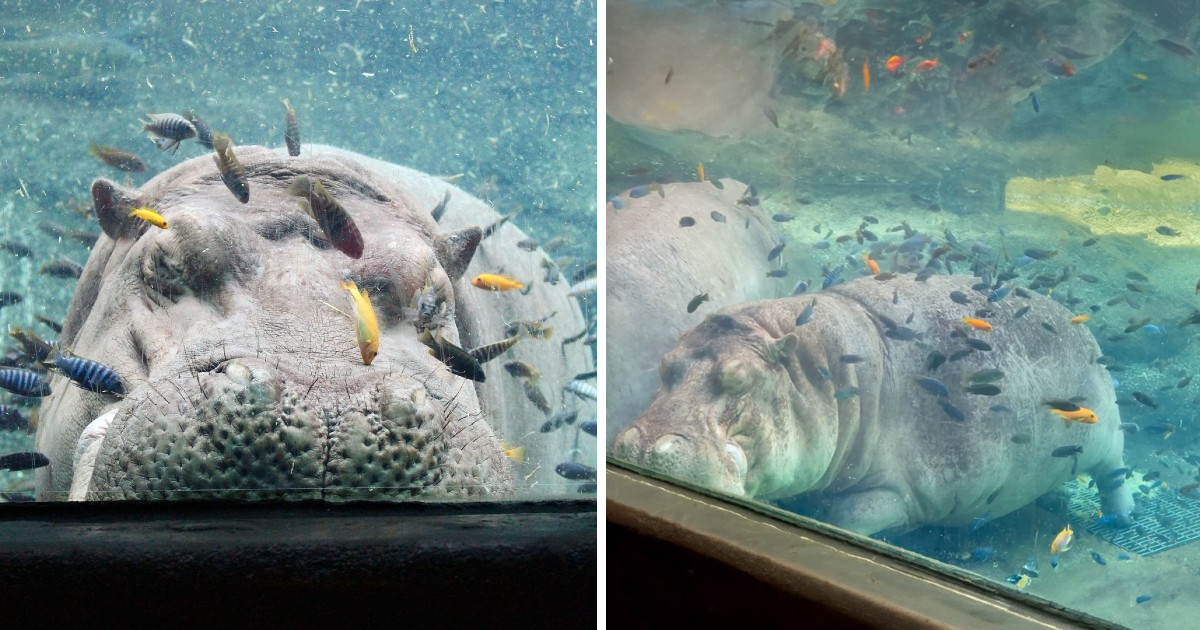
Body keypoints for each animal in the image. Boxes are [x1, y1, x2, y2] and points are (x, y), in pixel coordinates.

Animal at [612, 273, 1134, 536]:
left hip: (1107, 426)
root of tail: (1076, 321)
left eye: (741, 379)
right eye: (665, 365)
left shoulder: (895, 492)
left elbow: (849, 517)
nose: (643, 447)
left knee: (1114, 472)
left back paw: (1121, 517)